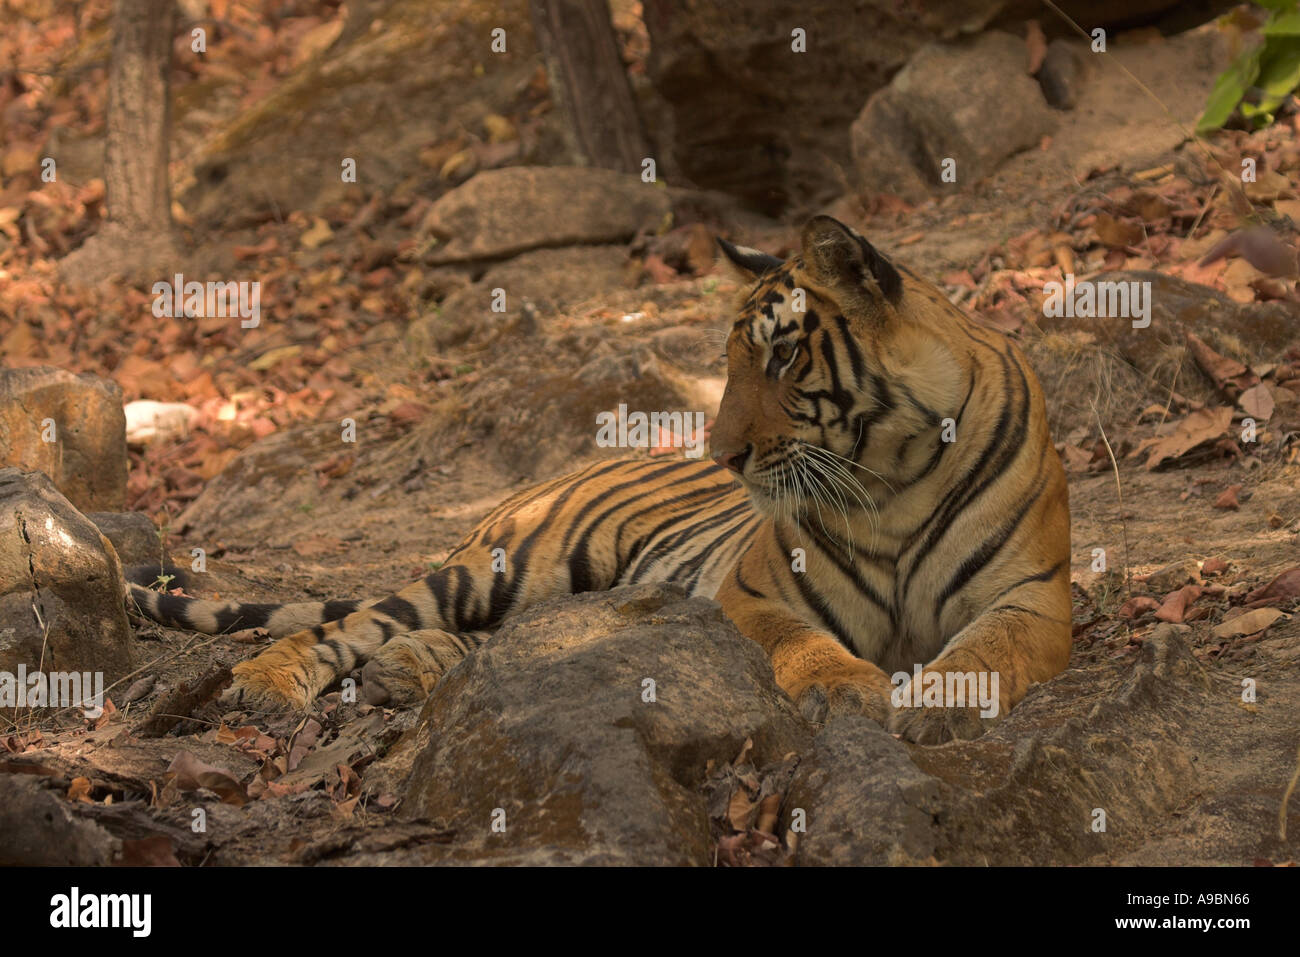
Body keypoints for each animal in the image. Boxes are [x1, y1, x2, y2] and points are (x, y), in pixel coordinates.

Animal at [126, 215, 1072, 744]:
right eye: (730, 358)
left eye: (782, 354)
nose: (722, 456)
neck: (893, 474)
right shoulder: (758, 593)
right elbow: (803, 644)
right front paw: (847, 688)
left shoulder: (1032, 597)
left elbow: (988, 648)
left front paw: (942, 701)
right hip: (507, 566)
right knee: (350, 623)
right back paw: (269, 682)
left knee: (481, 642)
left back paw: (404, 673)